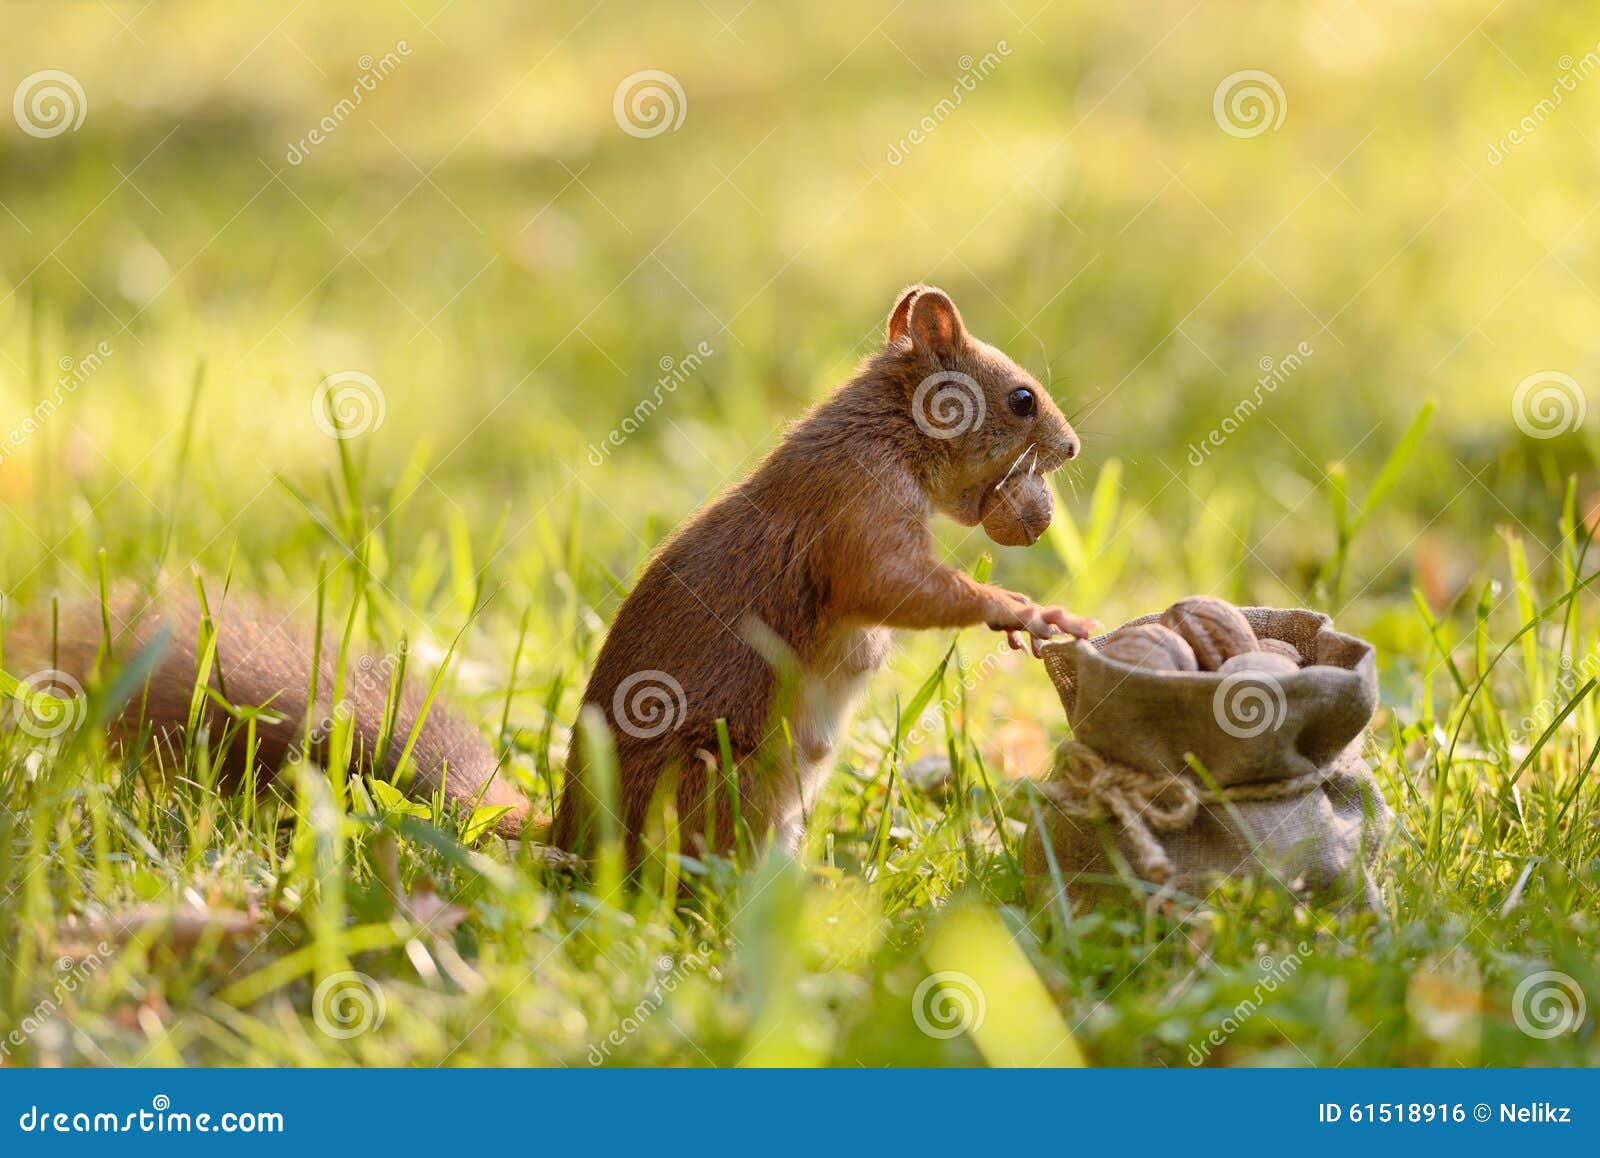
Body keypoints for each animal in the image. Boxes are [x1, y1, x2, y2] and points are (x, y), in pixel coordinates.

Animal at [11, 285, 1089, 859]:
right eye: (1021, 398)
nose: (1073, 449)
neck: (886, 430)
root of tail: (571, 834)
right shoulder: (850, 512)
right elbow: (895, 585)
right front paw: (1020, 609)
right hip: (722, 773)